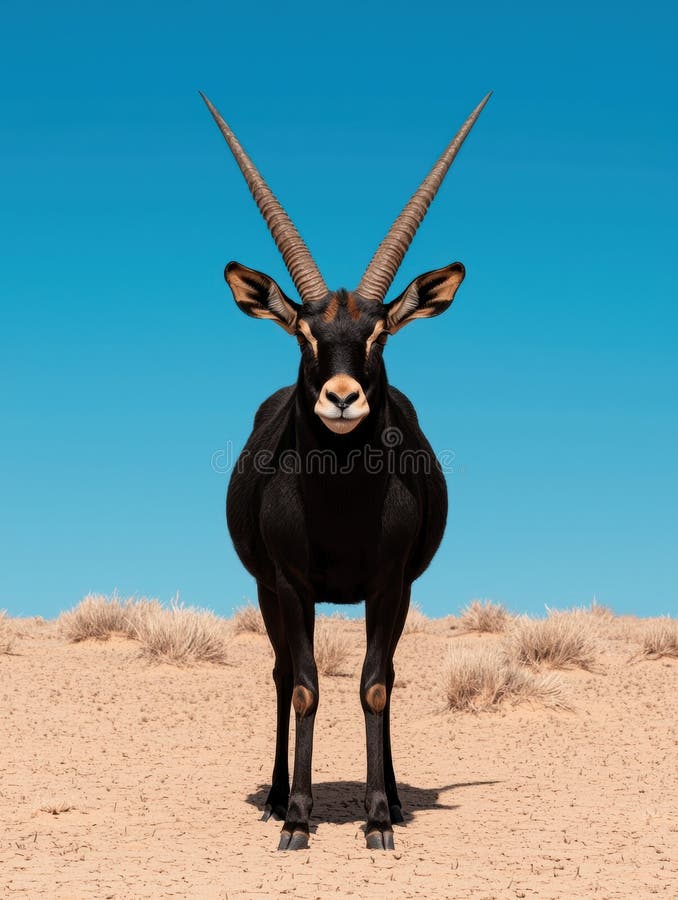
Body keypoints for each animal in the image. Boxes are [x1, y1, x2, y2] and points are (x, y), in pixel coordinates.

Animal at [202, 91, 490, 851]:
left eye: (379, 332)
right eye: (304, 330)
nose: (340, 398)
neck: (339, 502)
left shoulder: (392, 584)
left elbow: (376, 683)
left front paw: (381, 818)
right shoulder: (291, 583)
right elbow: (304, 683)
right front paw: (298, 821)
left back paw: (389, 795)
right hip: (268, 591)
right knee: (279, 674)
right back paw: (278, 796)